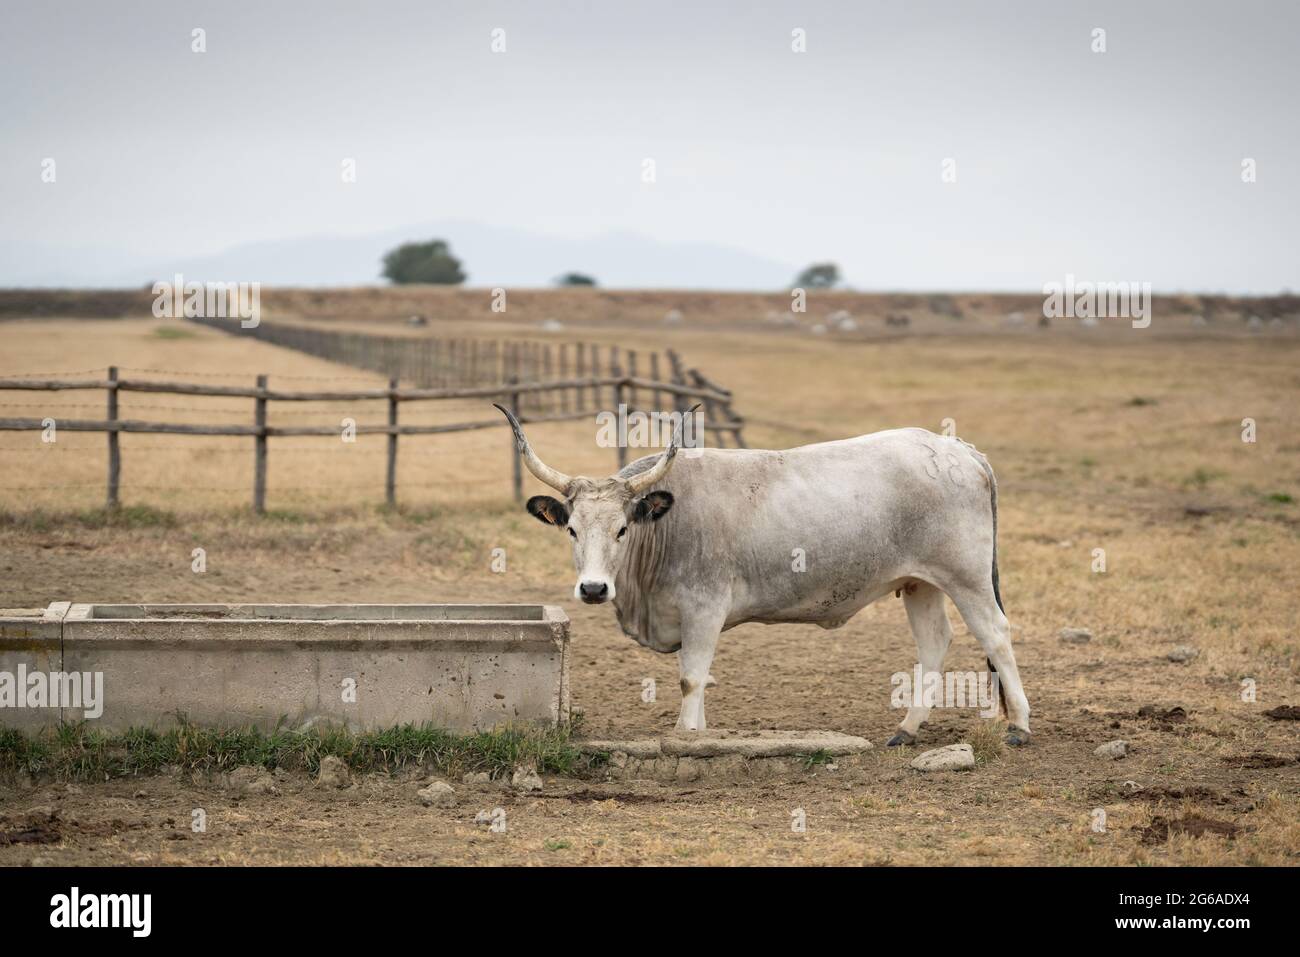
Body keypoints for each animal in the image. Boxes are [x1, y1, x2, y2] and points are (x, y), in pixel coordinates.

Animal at [493, 403, 1030, 747]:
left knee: (996, 634)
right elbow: (696, 679)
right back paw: (906, 729)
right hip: (919, 582)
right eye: (571, 529)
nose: (593, 588)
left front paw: (687, 737)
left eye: (623, 529)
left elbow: (690, 678)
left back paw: (1019, 726)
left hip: (966, 576)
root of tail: (959, 449)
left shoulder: (705, 609)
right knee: (935, 643)